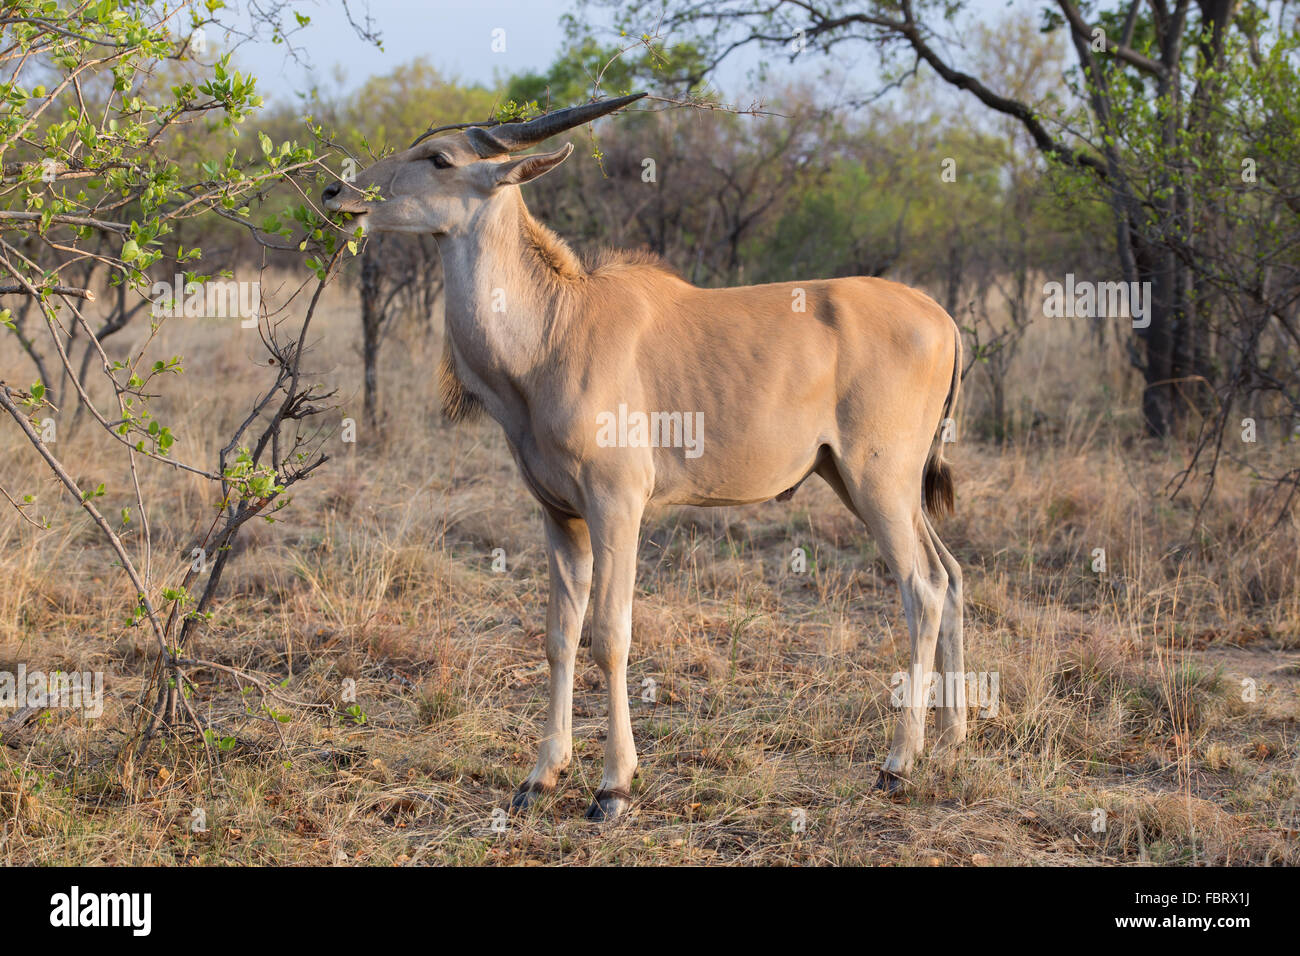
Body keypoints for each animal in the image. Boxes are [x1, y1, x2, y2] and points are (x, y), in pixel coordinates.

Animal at [322, 94, 966, 821]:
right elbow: (558, 634)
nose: (337, 193)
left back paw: (898, 763)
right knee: (952, 573)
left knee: (922, 587)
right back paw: (950, 740)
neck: (553, 329)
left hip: (877, 481)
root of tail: (943, 320)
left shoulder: (617, 505)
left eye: (438, 158)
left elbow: (609, 633)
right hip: (868, 485)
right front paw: (541, 776)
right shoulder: (559, 515)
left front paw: (613, 785)